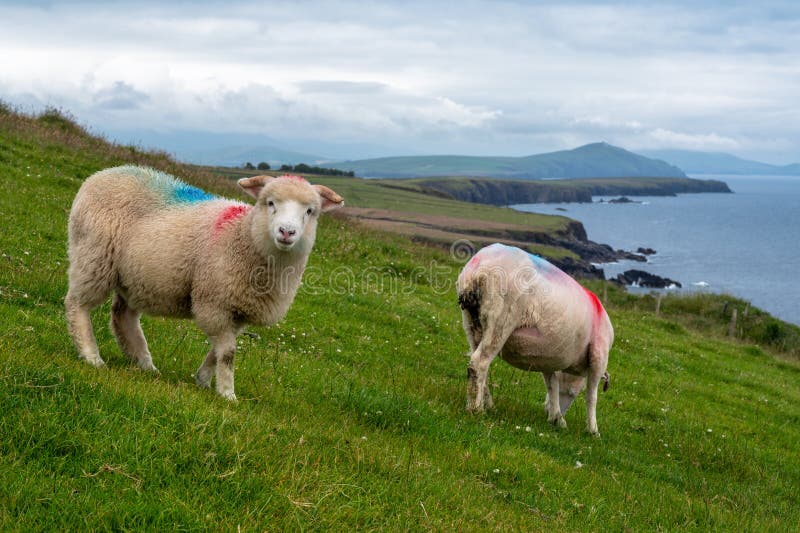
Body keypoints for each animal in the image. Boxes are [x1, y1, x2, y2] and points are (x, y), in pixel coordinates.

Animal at [65, 166, 343, 401]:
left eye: (310, 211)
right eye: (270, 203)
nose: (287, 232)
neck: (244, 235)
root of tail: (102, 174)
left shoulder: (237, 309)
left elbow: (221, 349)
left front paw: (204, 379)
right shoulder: (214, 301)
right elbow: (228, 353)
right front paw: (227, 394)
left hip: (133, 277)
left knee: (123, 316)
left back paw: (145, 364)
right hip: (94, 256)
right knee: (77, 304)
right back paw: (92, 356)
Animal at [456, 243, 613, 435]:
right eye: (572, 394)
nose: (547, 411)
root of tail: (478, 268)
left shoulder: (550, 355)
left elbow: (552, 384)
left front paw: (556, 418)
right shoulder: (600, 353)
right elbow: (592, 395)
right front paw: (593, 430)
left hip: (471, 323)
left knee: (479, 364)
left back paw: (488, 405)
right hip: (501, 317)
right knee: (479, 363)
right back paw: (476, 409)